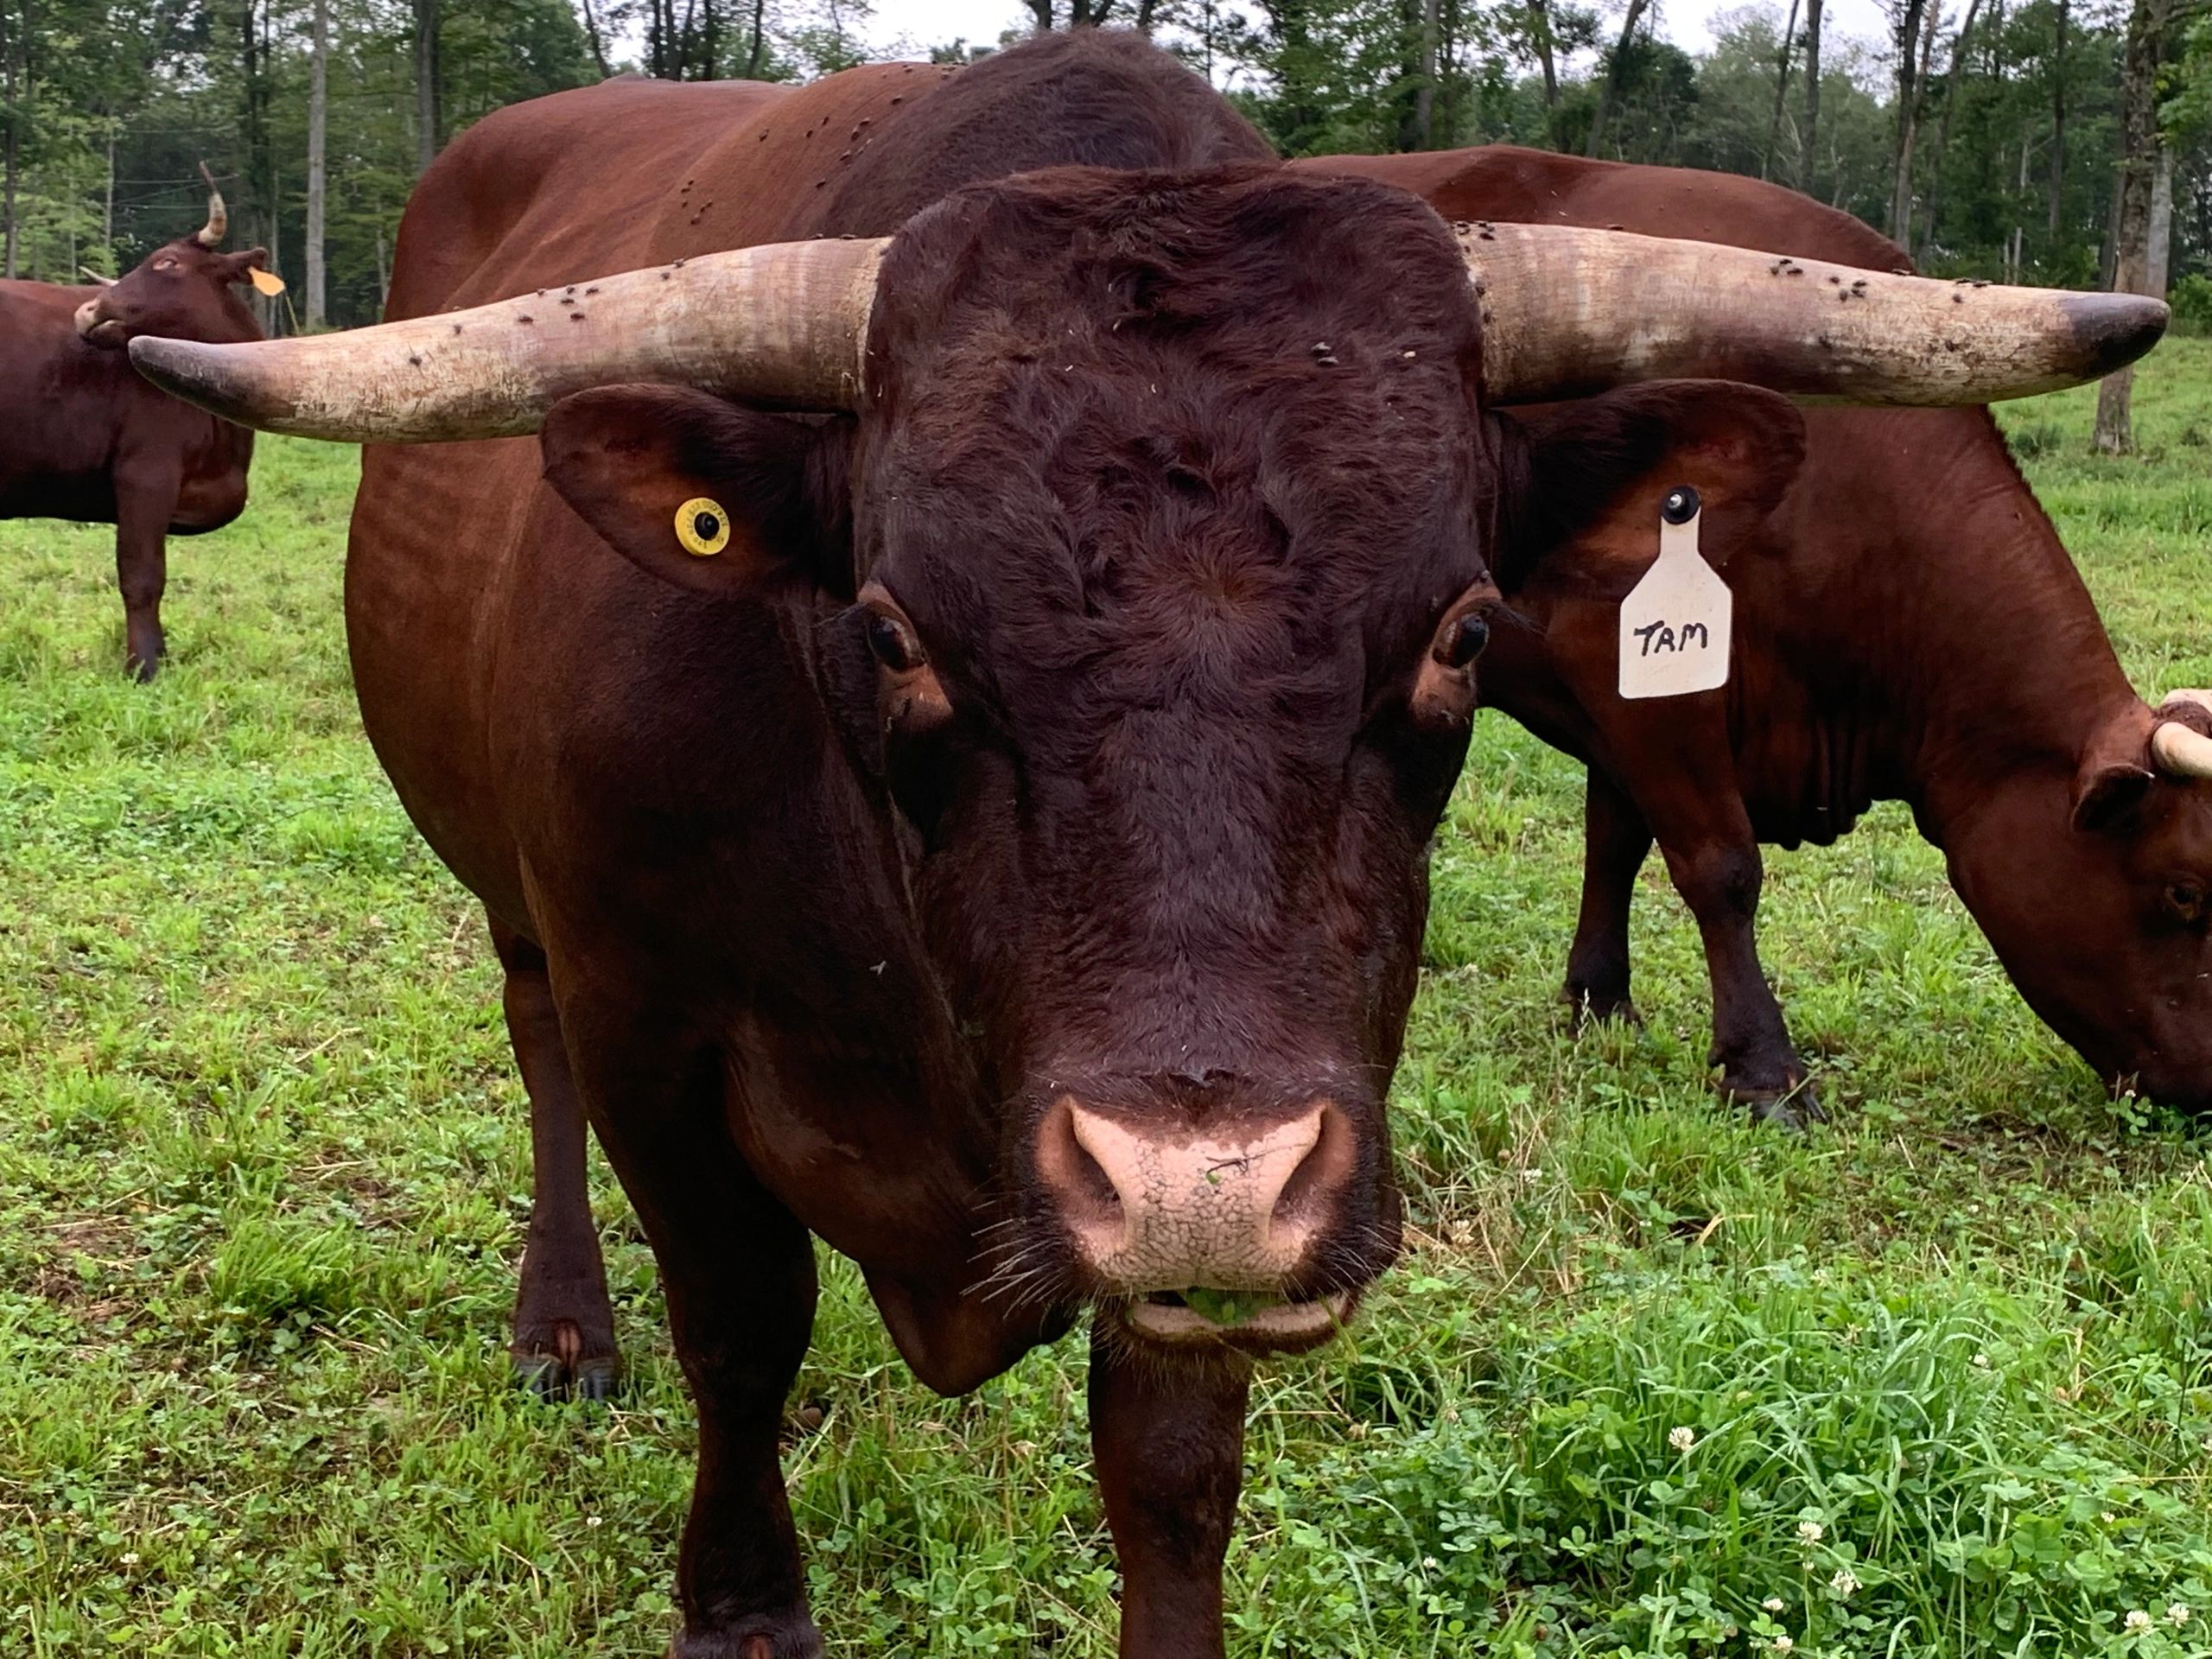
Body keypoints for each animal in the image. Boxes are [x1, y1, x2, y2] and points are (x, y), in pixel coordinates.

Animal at [1289, 147, 2212, 1126]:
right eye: (2184, 889)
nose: (2206, 1090)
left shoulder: (1636, 691)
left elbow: (1614, 838)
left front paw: (1599, 1001)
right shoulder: (1632, 672)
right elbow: (1719, 867)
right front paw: (1763, 1066)